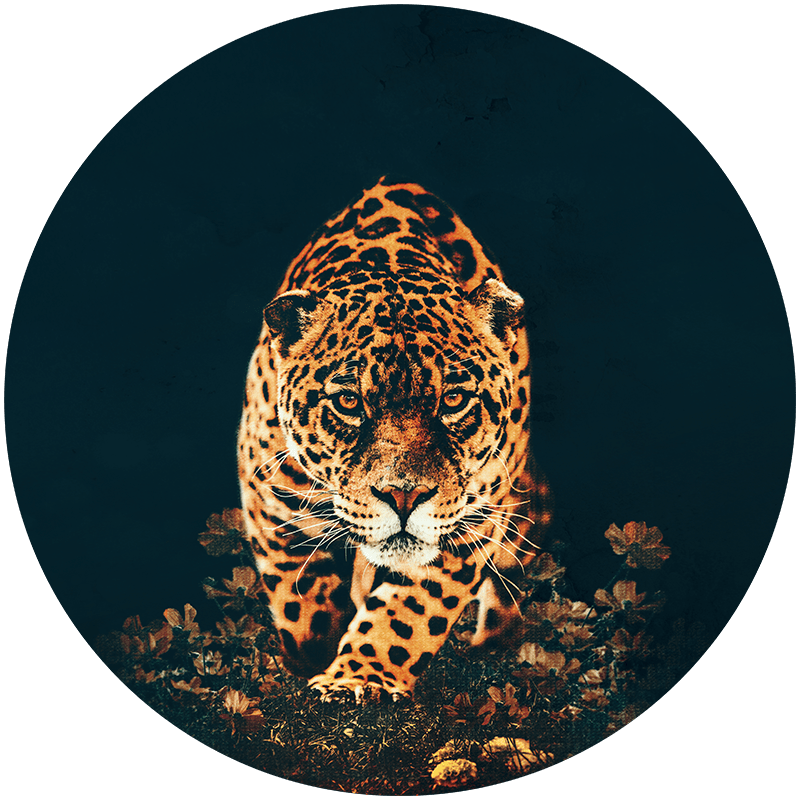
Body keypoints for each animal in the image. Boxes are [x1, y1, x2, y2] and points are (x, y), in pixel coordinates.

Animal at [237, 177, 551, 702]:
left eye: (453, 400)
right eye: (348, 402)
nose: (404, 497)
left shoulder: (470, 518)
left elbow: (410, 611)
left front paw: (360, 676)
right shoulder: (270, 494)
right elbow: (300, 594)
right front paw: (314, 653)